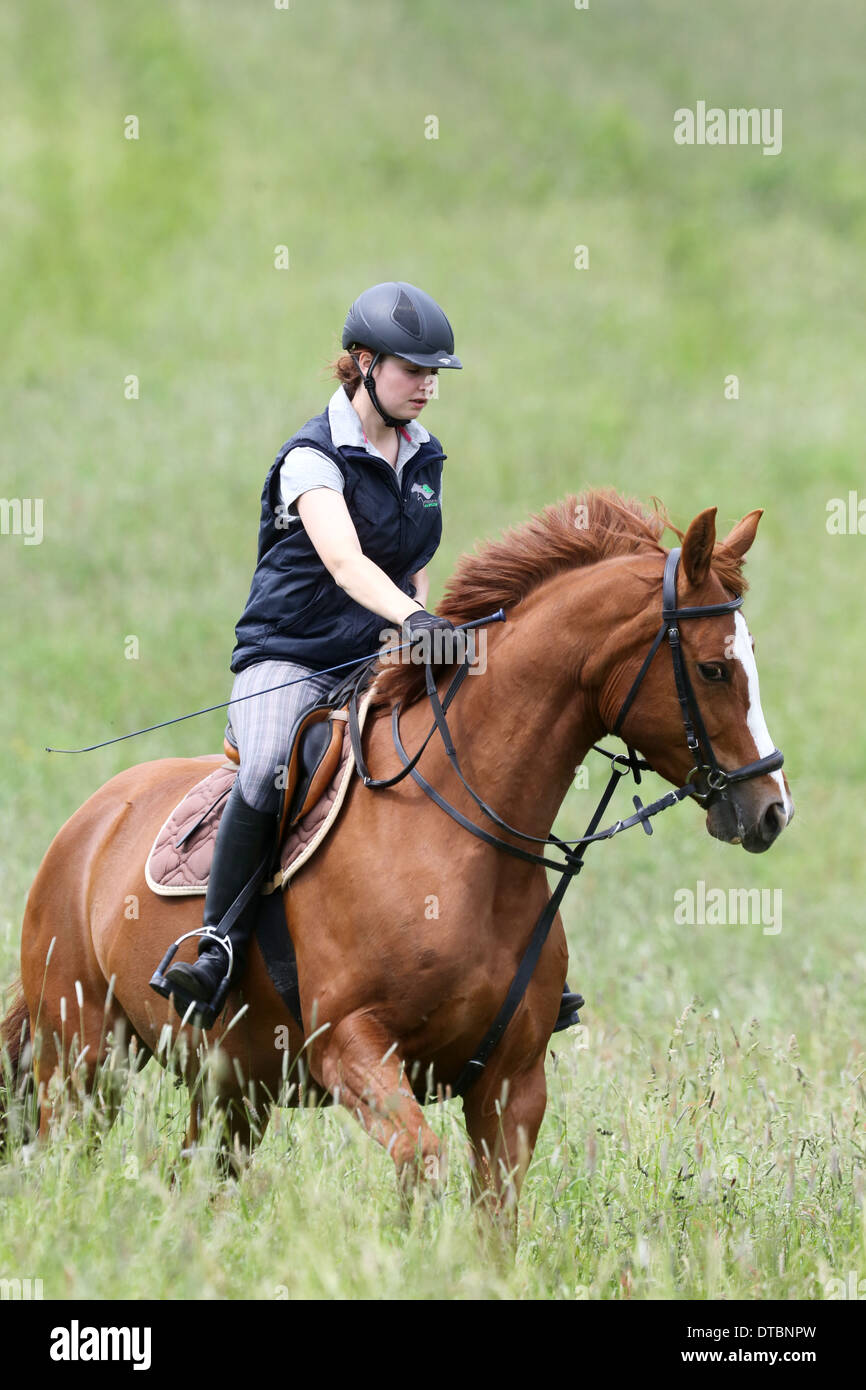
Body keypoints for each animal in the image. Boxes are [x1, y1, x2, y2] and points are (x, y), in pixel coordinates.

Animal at [0, 492, 793, 1210]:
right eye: (714, 669)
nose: (771, 809)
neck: (465, 845)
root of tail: (90, 821)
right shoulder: (351, 1046)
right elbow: (424, 1164)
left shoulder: (513, 1083)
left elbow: (492, 1213)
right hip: (81, 1060)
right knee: (65, 1154)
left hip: (230, 1085)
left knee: (198, 1180)